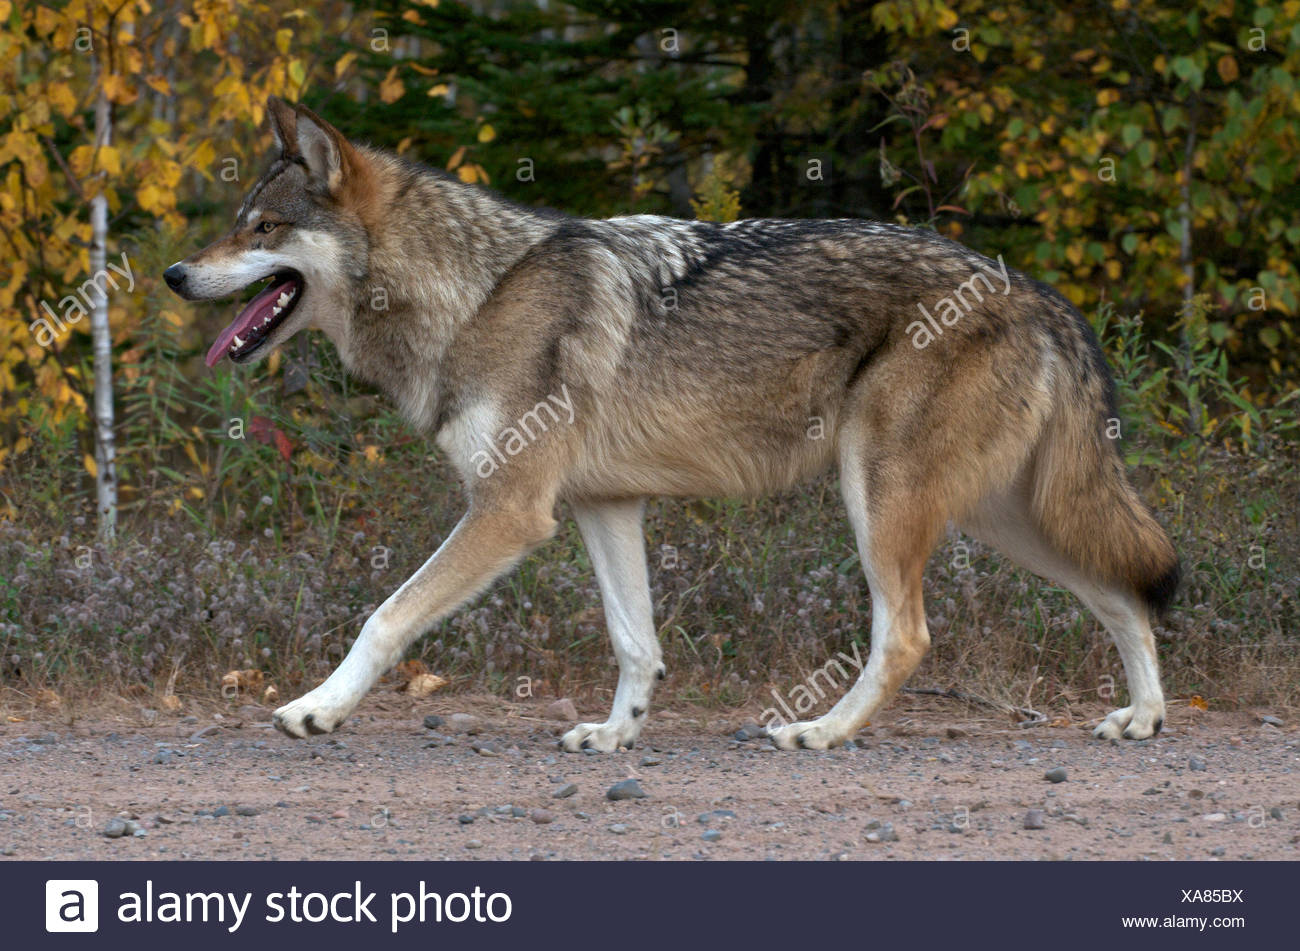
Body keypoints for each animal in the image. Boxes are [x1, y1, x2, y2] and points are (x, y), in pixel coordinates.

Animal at [164, 98, 1178, 751]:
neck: (473, 294)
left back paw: (819, 730)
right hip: (1003, 515)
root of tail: (1037, 292)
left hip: (882, 500)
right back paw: (1143, 717)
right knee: (1124, 596)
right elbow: (636, 641)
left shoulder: (509, 511)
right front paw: (616, 733)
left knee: (910, 636)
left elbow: (383, 616)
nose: (174, 274)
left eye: (260, 228)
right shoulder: (604, 506)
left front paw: (318, 708)